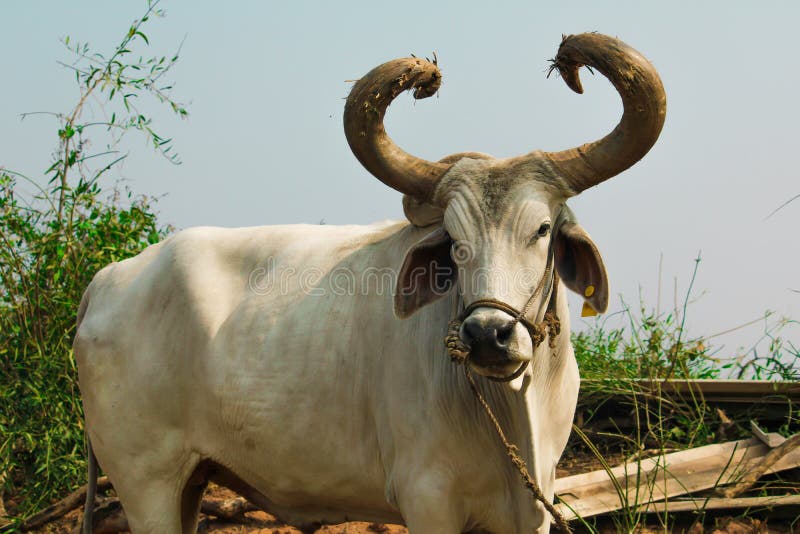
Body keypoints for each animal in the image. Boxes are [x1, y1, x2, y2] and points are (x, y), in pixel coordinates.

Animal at [74, 32, 665, 533]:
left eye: (541, 230)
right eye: (453, 239)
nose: (486, 336)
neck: (512, 407)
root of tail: (107, 280)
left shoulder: (531, 506)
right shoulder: (428, 498)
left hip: (190, 485)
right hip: (146, 484)